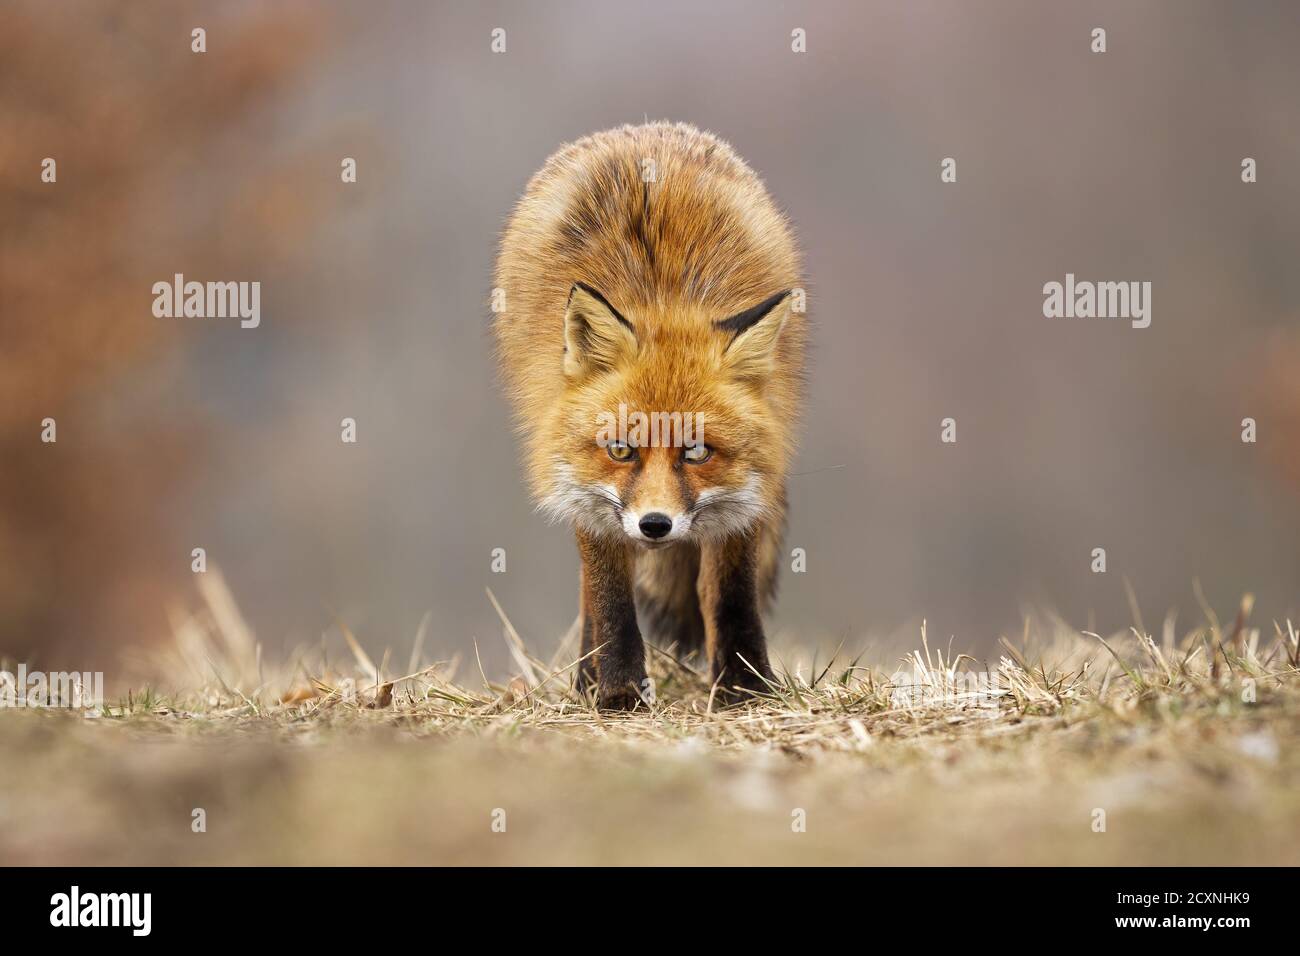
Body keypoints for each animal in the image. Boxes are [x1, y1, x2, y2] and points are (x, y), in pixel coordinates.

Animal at [493, 122, 805, 710]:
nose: (655, 525)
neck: (664, 298)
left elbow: (729, 593)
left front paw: (745, 686)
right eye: (621, 449)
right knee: (589, 589)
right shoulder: (588, 487)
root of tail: (639, 129)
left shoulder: (749, 484)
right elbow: (610, 597)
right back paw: (588, 677)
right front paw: (617, 689)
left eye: (698, 451)